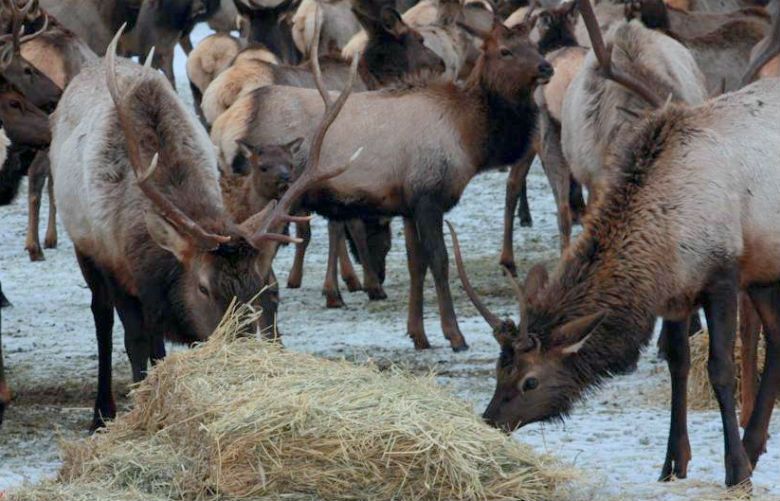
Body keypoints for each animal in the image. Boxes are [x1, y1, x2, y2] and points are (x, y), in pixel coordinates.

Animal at [49, 25, 359, 430]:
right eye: (203, 287)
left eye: (259, 287)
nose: (240, 351)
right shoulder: (118, 269)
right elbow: (136, 345)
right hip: (82, 246)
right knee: (101, 319)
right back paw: (101, 412)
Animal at [217, 12, 553, 351]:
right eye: (505, 51)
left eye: (534, 45)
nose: (546, 67)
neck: (469, 139)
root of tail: (227, 124)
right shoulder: (428, 196)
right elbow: (440, 262)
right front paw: (454, 335)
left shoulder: (408, 205)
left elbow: (416, 265)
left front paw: (418, 334)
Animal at [452, 0, 780, 489]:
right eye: (498, 369)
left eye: (529, 380)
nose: (491, 420)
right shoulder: (677, 293)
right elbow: (678, 363)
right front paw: (673, 463)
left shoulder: (723, 274)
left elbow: (719, 369)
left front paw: (735, 470)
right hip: (766, 270)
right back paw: (756, 443)